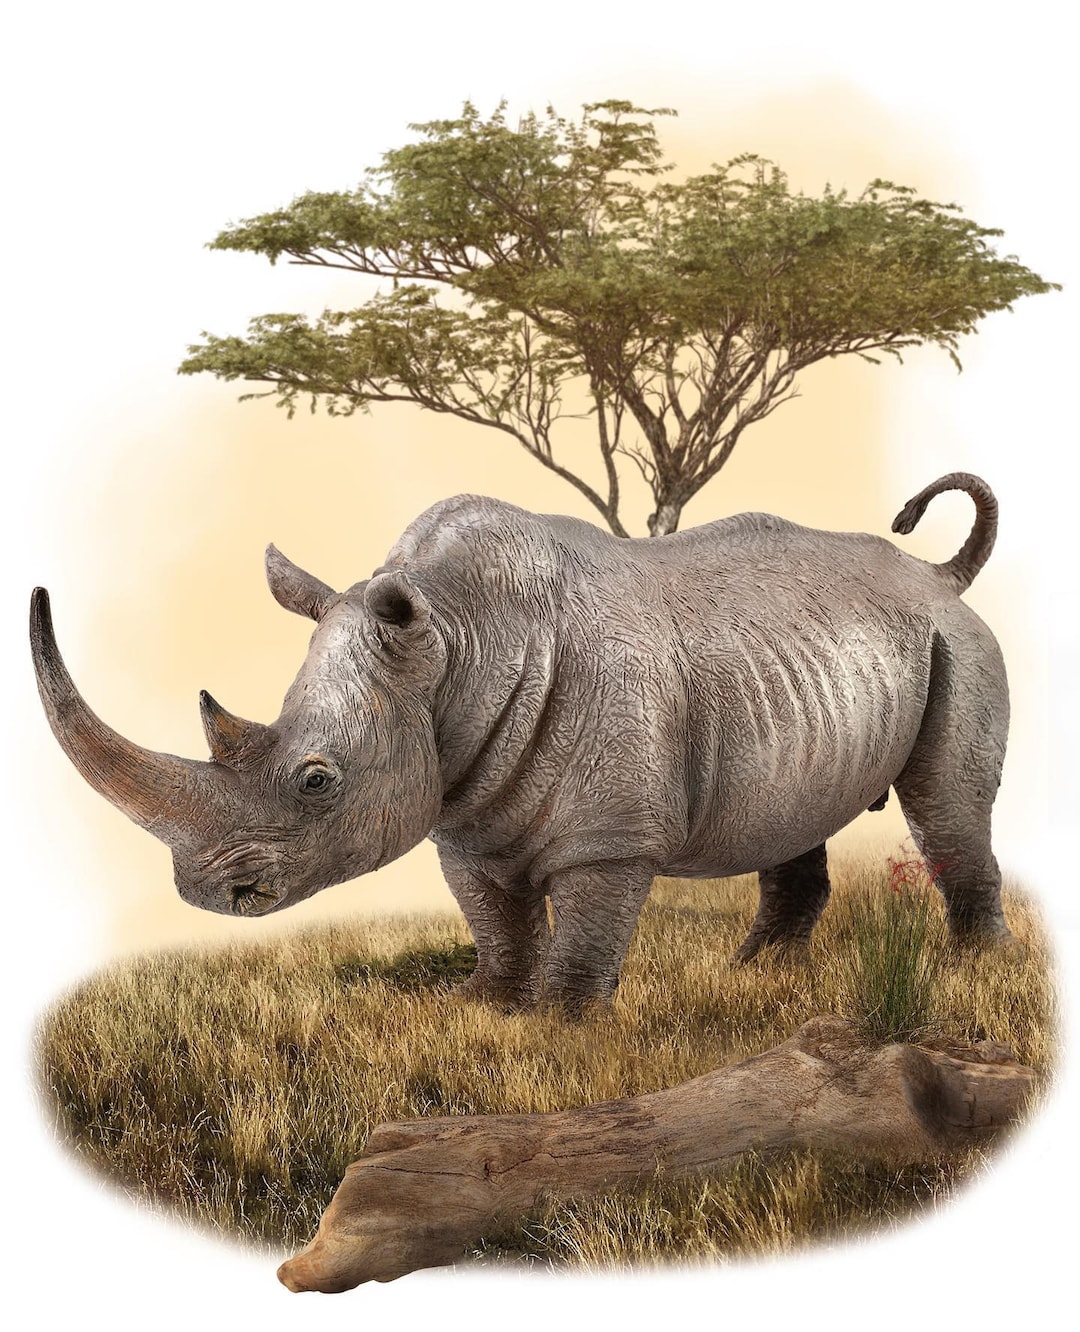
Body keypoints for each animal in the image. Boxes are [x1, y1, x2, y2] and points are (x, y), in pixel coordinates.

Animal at [30, 471, 1010, 1009]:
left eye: (316, 781)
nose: (205, 893)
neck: (456, 644)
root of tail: (935, 574)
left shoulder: (610, 838)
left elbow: (587, 925)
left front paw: (566, 1025)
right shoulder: (459, 810)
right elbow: (490, 913)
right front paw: (486, 1005)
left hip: (953, 644)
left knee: (943, 810)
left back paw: (973, 973)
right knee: (793, 812)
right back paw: (755, 976)